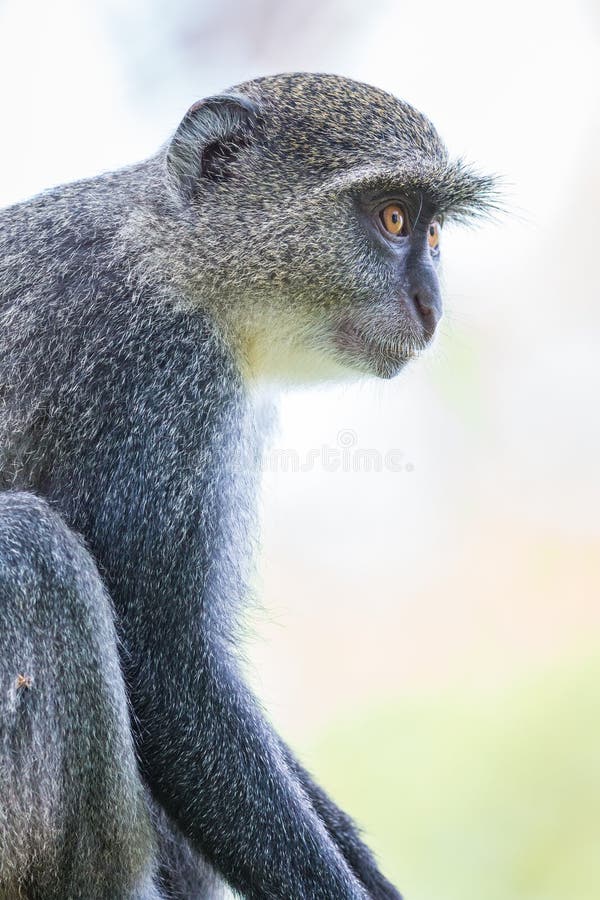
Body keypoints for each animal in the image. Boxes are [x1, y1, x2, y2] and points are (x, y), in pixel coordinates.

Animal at [0, 73, 495, 899]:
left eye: (432, 234)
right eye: (394, 219)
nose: (432, 307)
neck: (174, 250)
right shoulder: (163, 373)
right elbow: (170, 669)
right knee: (36, 549)